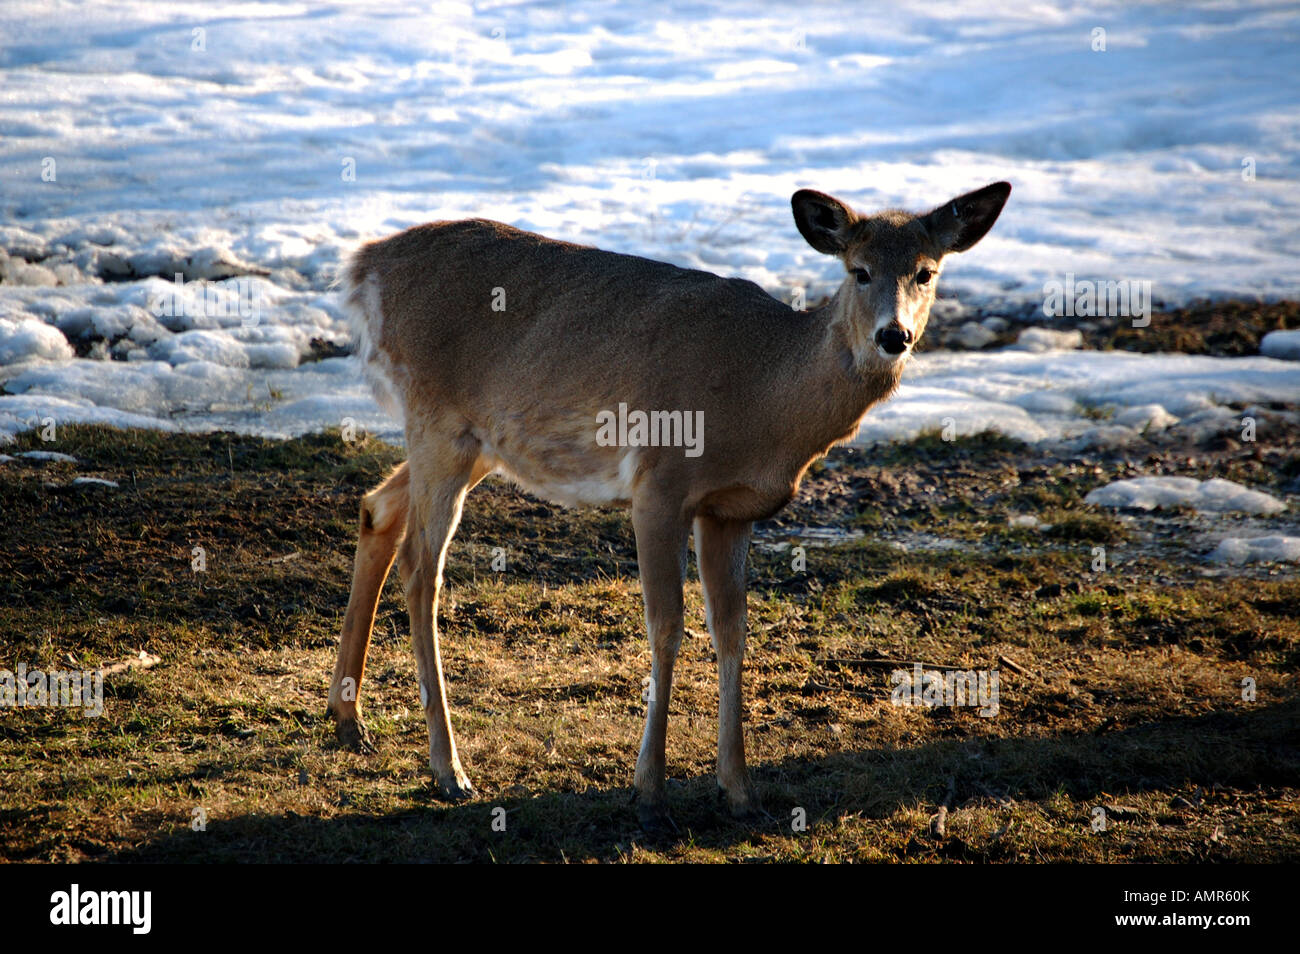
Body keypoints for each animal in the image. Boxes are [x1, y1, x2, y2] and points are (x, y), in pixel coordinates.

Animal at [325, 181, 1011, 830]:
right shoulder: (659, 484)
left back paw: (347, 718)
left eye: (928, 271)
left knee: (377, 509)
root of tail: (365, 265)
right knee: (422, 568)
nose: (894, 335)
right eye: (859, 269)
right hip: (437, 418)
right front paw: (650, 795)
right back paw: (450, 770)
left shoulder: (730, 509)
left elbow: (732, 629)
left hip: (476, 442)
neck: (765, 396)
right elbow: (666, 627)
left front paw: (739, 792)